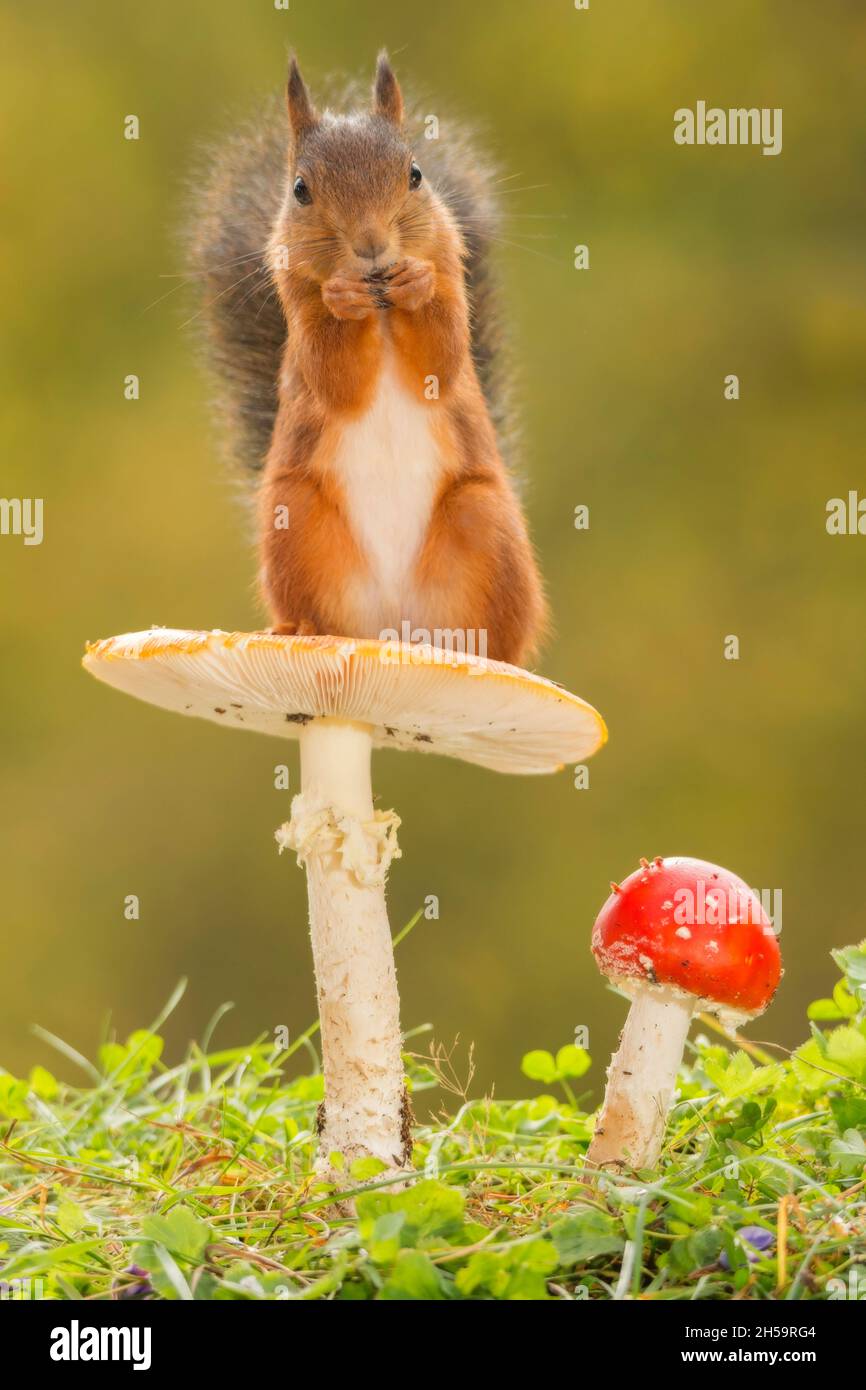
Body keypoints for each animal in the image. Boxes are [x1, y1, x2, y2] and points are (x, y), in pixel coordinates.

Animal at [190, 52, 547, 667]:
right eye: (300, 189)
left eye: (416, 174)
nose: (372, 246)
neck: (381, 309)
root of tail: (395, 628)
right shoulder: (299, 318)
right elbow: (335, 378)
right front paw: (342, 300)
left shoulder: (450, 280)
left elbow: (442, 357)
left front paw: (416, 284)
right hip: (294, 516)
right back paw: (297, 628)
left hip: (484, 517)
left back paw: (492, 655)